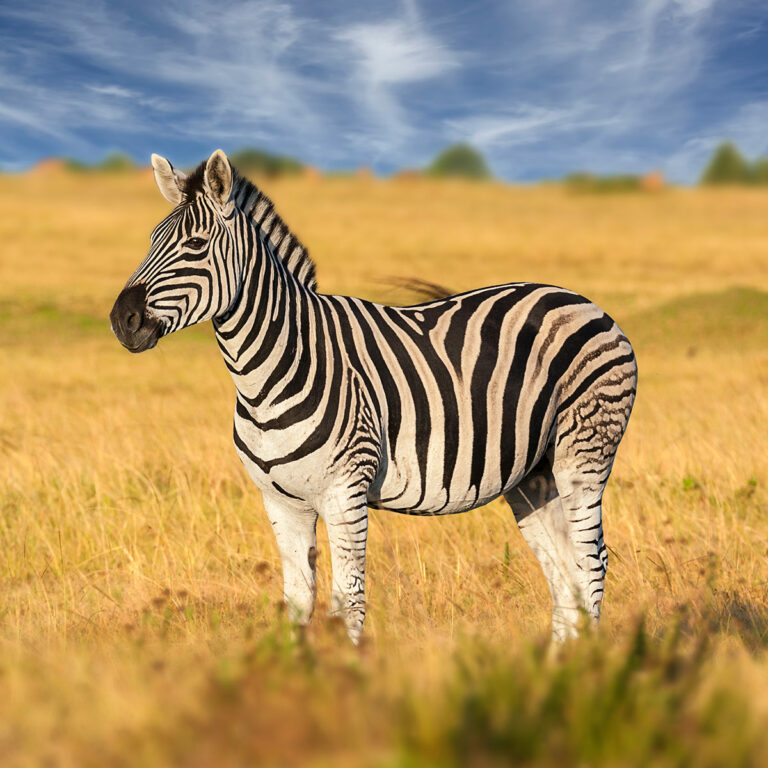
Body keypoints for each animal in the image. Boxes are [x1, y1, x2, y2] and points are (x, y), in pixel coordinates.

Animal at [110, 150, 637, 644]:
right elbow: (298, 601)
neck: (269, 373)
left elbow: (349, 602)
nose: (122, 320)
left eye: (195, 245)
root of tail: (579, 299)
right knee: (564, 572)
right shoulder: (280, 501)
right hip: (532, 475)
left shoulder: (346, 491)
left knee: (591, 563)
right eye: (152, 240)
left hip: (583, 453)